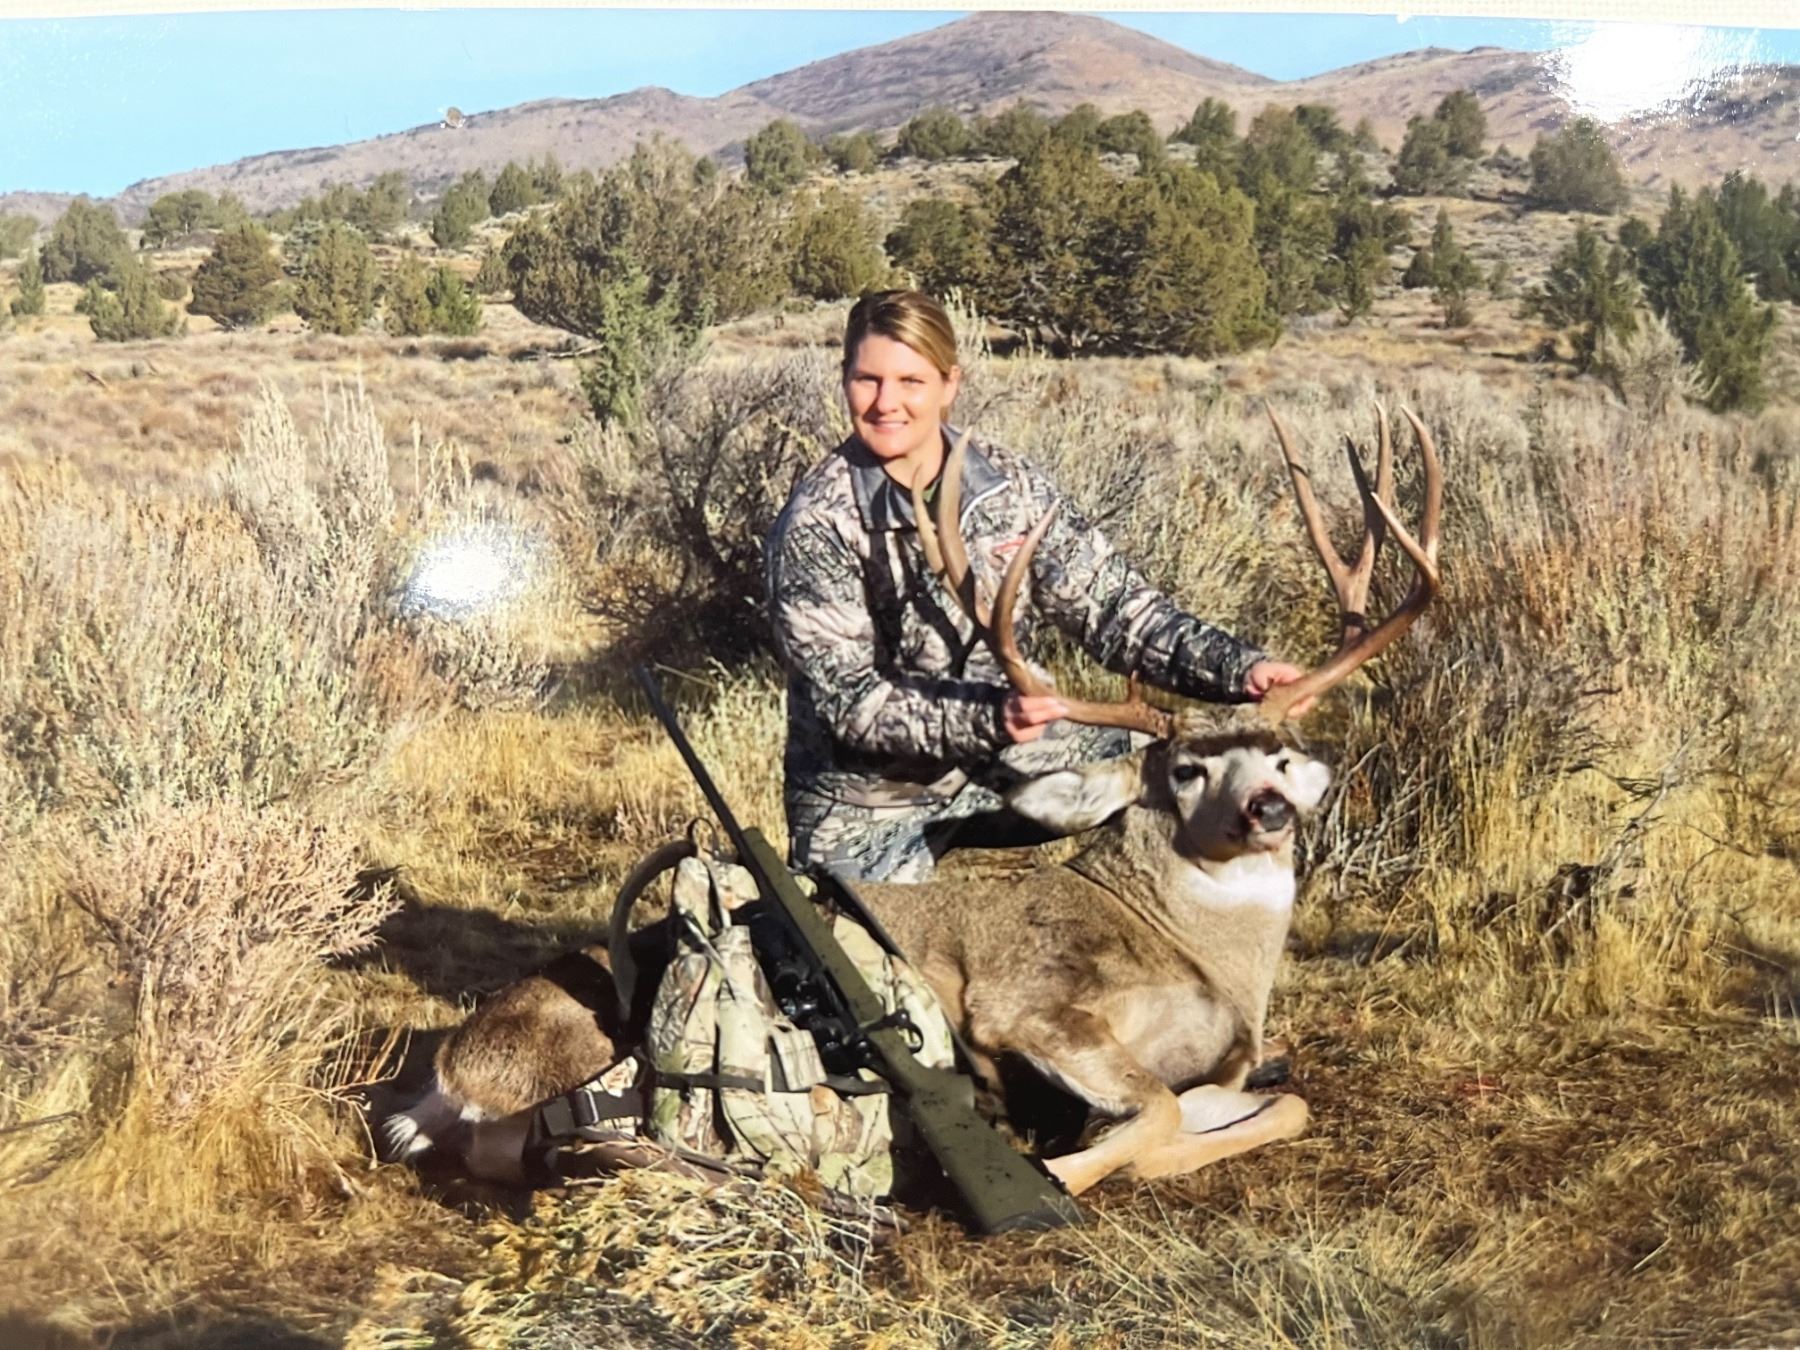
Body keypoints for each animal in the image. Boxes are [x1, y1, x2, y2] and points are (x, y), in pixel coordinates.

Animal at [379, 405, 1442, 1197]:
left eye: (1280, 756)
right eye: (1184, 769)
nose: (1268, 811)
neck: (1199, 953)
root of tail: (451, 1064)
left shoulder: (1221, 1065)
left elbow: (1280, 1103)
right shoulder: (1031, 1009)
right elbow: (1156, 1113)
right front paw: (1063, 1163)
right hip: (579, 1041)